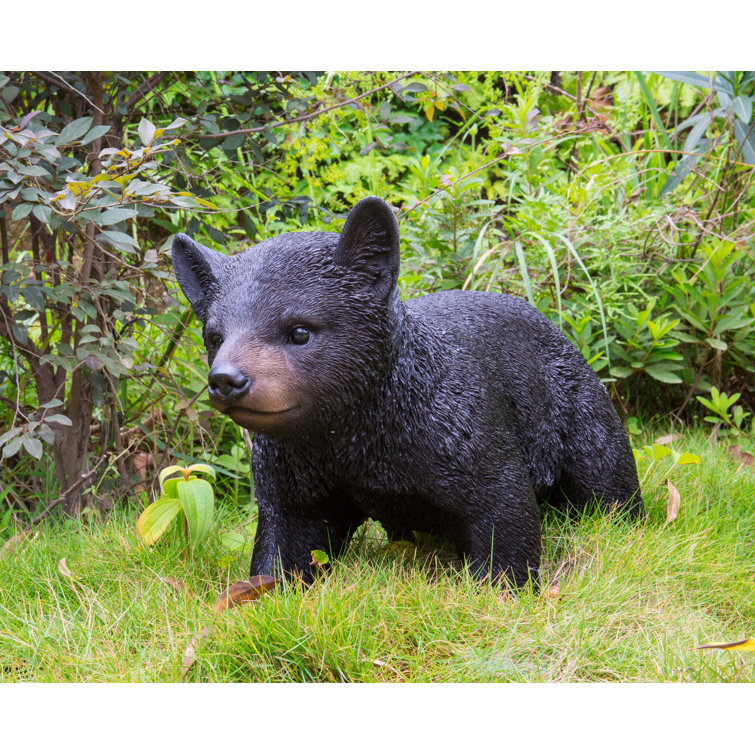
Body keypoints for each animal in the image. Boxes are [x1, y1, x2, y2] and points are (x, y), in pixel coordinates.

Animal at [171, 196, 643, 589]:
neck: (358, 444)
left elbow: (506, 523)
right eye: (214, 336)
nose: (227, 380)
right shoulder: (293, 478)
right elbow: (283, 548)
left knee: (608, 485)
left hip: (583, 413)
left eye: (300, 331)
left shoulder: (471, 441)